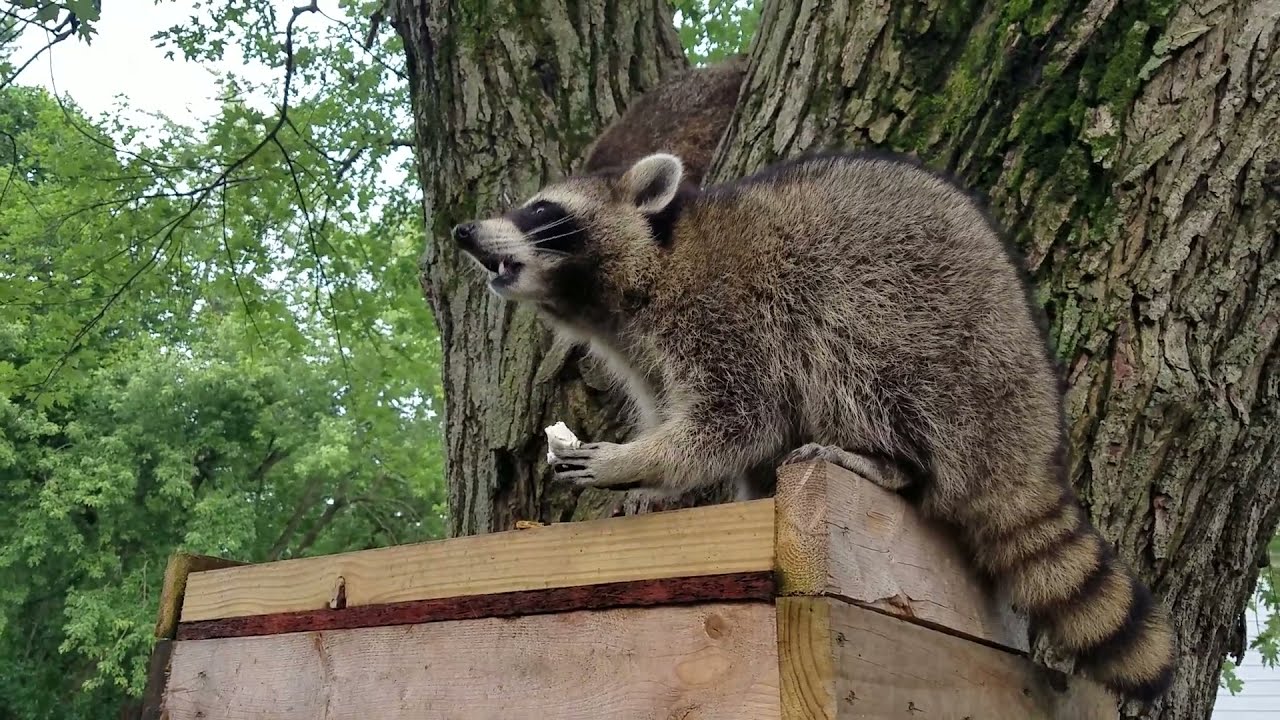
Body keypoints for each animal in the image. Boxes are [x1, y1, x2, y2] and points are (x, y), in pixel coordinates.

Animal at [449, 151, 1176, 701]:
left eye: (542, 211)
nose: (463, 232)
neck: (639, 274)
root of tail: (1035, 436)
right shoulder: (645, 356)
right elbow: (713, 431)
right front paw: (655, 482)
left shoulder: (727, 315)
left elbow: (736, 420)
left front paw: (633, 461)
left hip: (931, 338)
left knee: (859, 351)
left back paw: (889, 460)